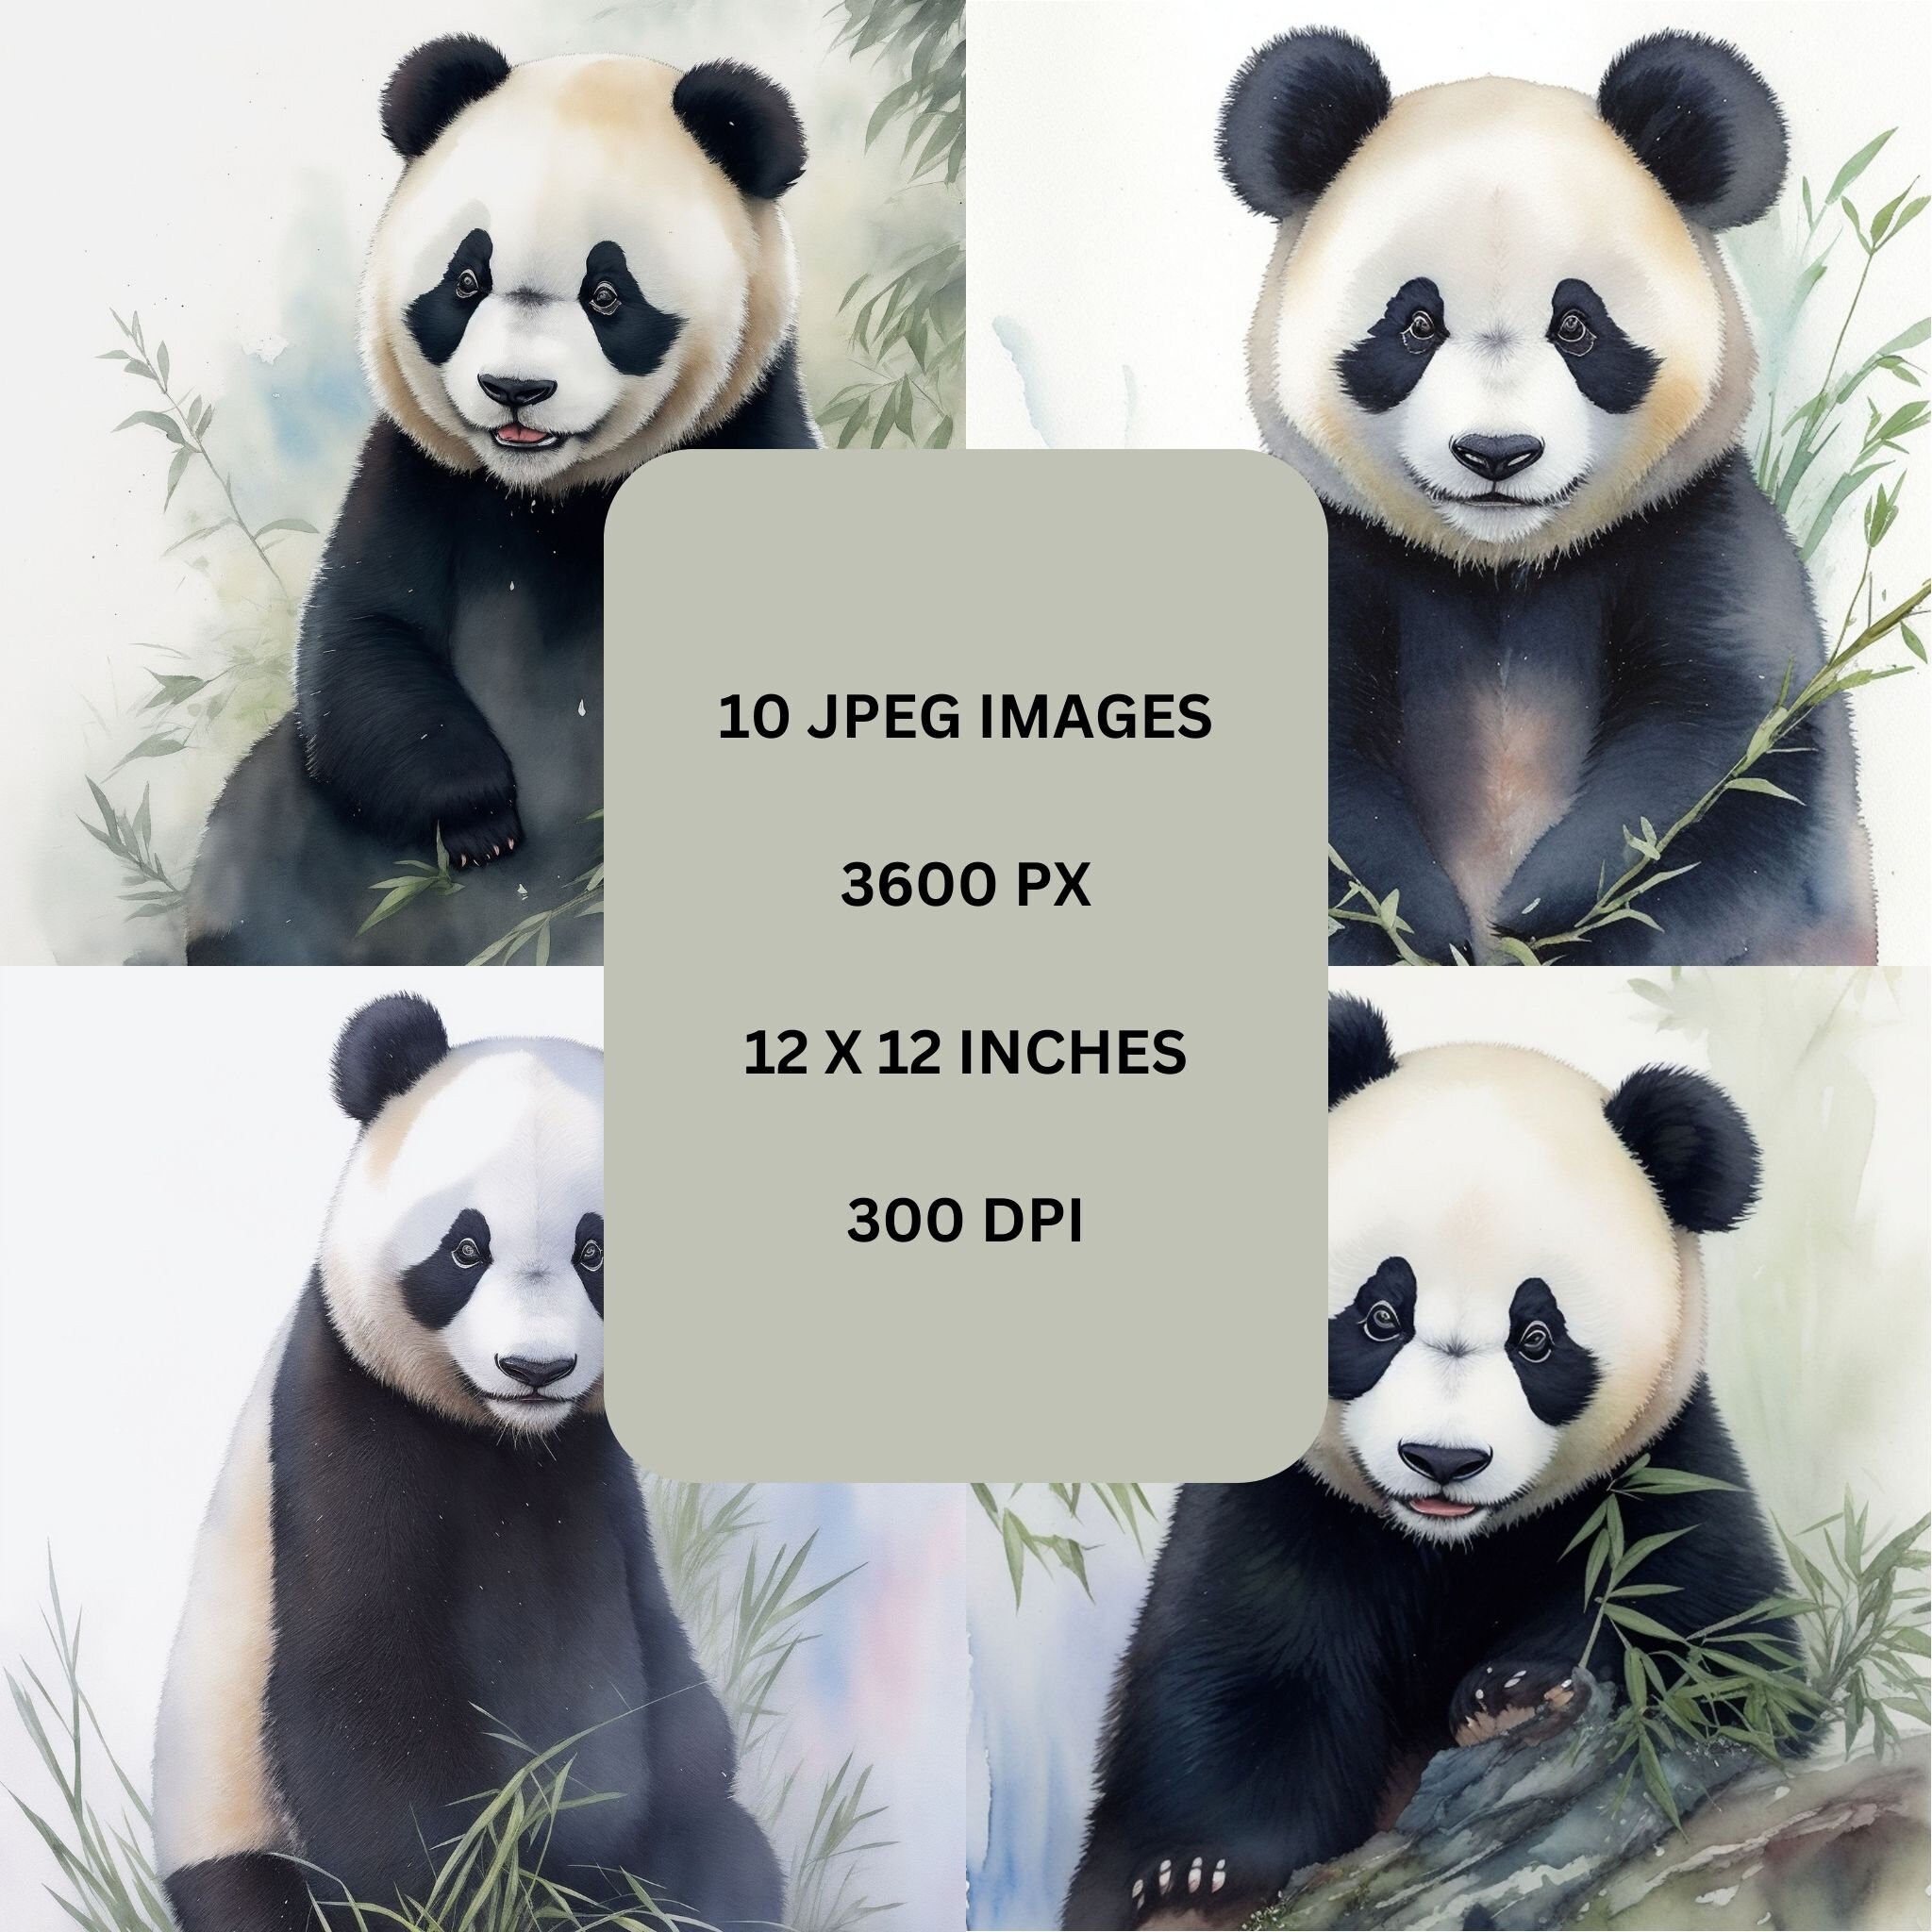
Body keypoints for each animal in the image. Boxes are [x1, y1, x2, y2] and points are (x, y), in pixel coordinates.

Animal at [151, 994, 781, 1928]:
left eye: (596, 1252)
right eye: (464, 1249)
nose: (536, 1368)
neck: (505, 1438)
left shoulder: (594, 1467)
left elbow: (650, 1649)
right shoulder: (349, 1422)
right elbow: (361, 1685)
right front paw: (483, 1885)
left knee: (736, 1855)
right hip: (232, 1819)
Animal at [186, 36, 818, 965]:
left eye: (607, 293)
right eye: (466, 279)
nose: (516, 389)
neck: (557, 497)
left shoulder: (743, 445)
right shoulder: (424, 476)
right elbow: (364, 633)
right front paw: (484, 819)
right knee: (264, 834)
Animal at [1062, 995, 1797, 1930]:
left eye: (1537, 1337)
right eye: (1380, 1315)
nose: (1442, 1460)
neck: (1443, 1546)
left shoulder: (1653, 1476)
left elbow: (1704, 1644)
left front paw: (1513, 1694)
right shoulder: (1279, 1505)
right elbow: (1241, 1671)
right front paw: (1206, 1872)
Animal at [1219, 31, 1877, 967]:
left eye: (1577, 326)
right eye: (1416, 323)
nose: (1497, 453)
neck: (1499, 569)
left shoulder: (1690, 525)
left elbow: (1718, 755)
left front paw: (1541, 926)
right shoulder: (1337, 540)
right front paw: (1424, 932)